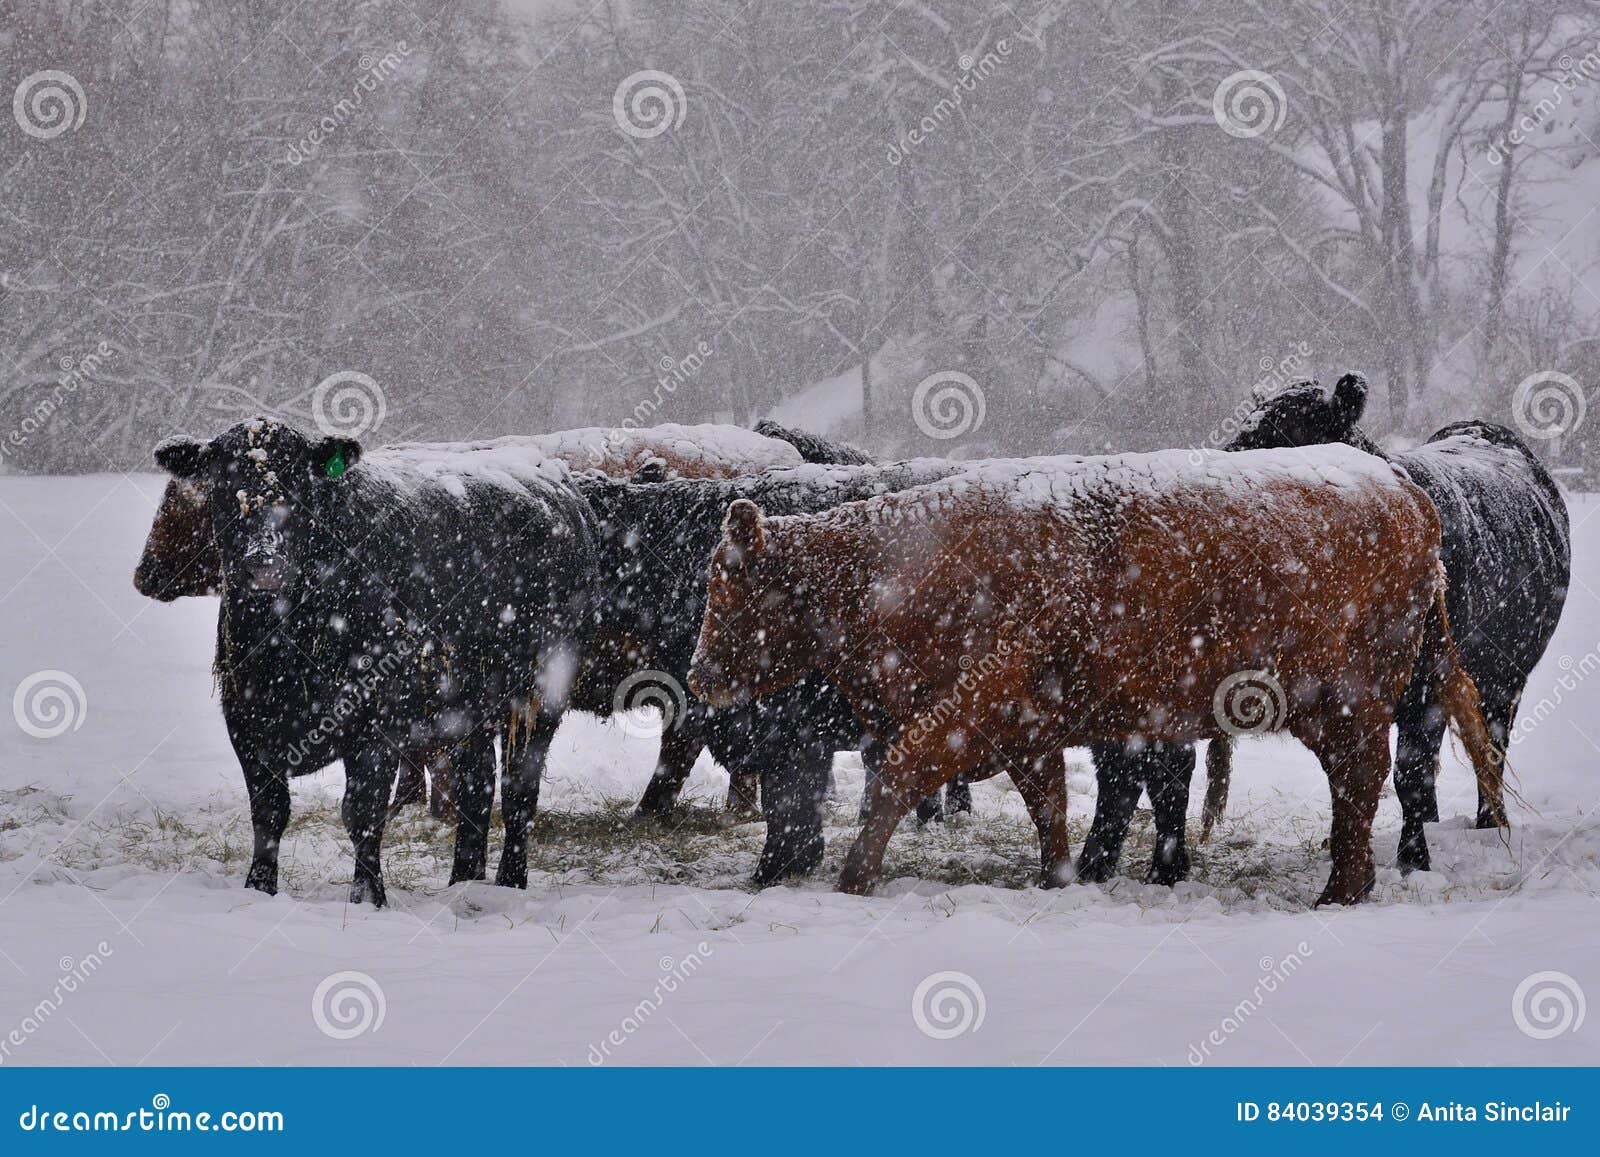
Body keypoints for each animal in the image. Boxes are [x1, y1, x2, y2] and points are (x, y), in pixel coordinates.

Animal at [152, 418, 598, 906]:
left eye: (299, 484)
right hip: (467, 705)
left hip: (539, 695)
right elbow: (269, 813)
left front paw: (368, 897)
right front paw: (258, 889)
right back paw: (463, 882)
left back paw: (509, 884)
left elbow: (362, 813)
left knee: (519, 792)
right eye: (222, 481)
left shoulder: (375, 721)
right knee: (477, 789)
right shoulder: (247, 723)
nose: (264, 563)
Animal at [687, 447, 1507, 905]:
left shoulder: (969, 709)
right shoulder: (1027, 729)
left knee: (1361, 784)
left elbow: (897, 776)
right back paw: (1351, 882)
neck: (911, 567)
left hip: (1345, 706)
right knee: (1358, 790)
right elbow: (1048, 804)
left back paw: (1338, 892)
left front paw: (854, 878)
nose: (697, 675)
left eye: (727, 588)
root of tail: (1402, 486)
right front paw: (1061, 877)